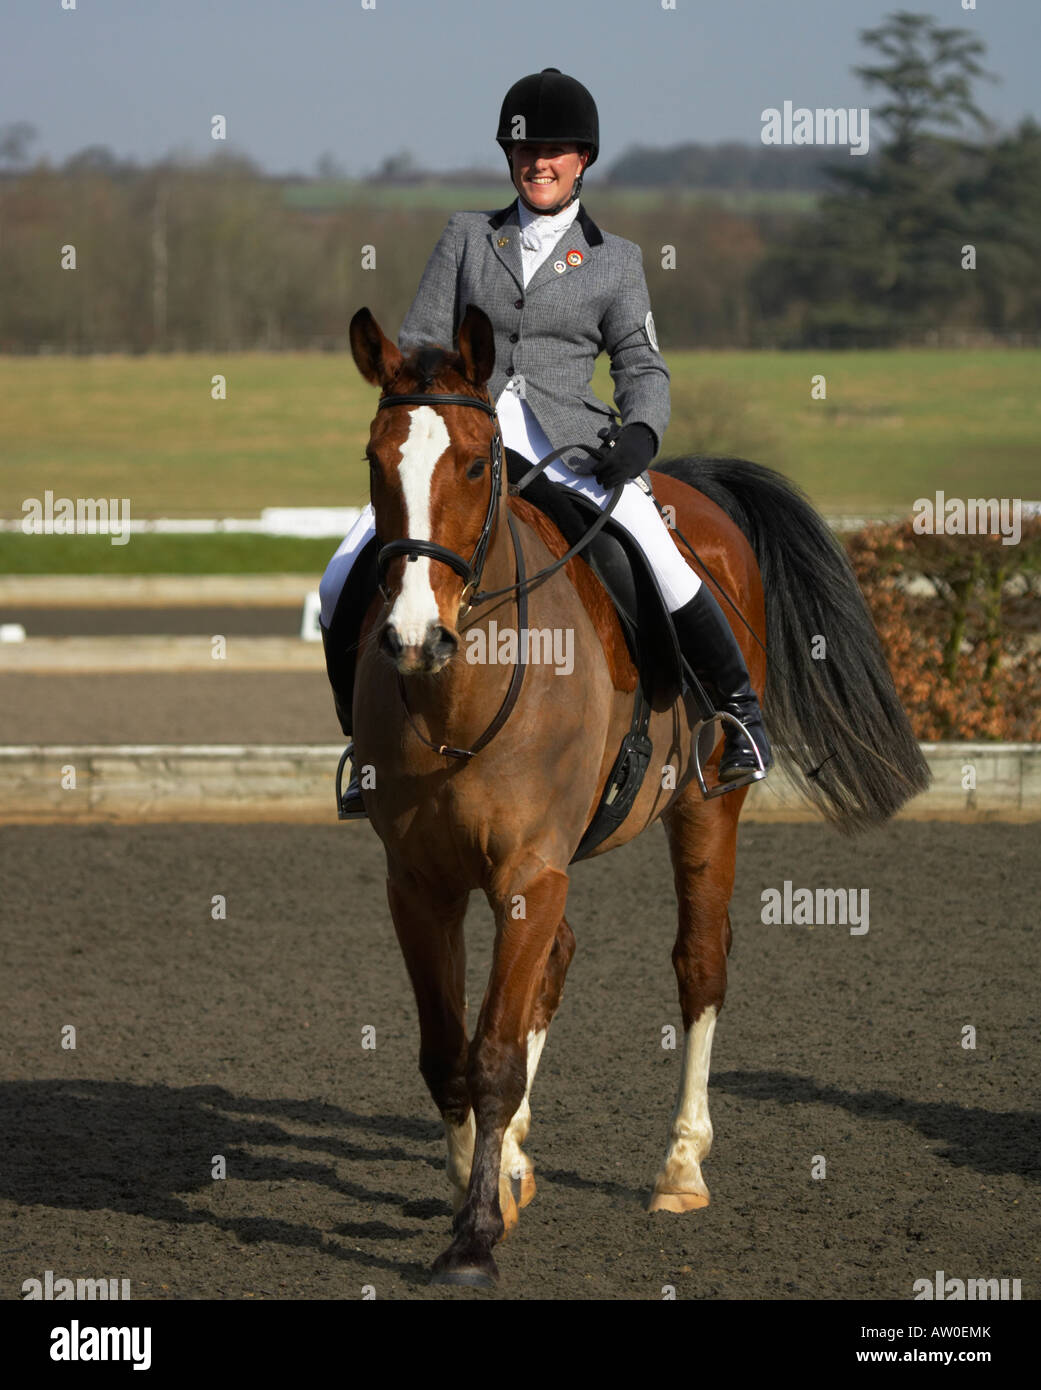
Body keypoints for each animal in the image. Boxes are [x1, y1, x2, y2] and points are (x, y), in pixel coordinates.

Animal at [342, 302, 929, 1287]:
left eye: (476, 462)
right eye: (375, 461)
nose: (415, 637)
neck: (460, 693)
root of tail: (683, 483)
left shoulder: (528, 872)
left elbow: (491, 1054)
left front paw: (474, 1236)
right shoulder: (416, 883)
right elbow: (445, 1056)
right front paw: (485, 1185)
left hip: (704, 806)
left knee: (698, 964)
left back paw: (680, 1168)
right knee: (556, 966)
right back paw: (520, 1157)